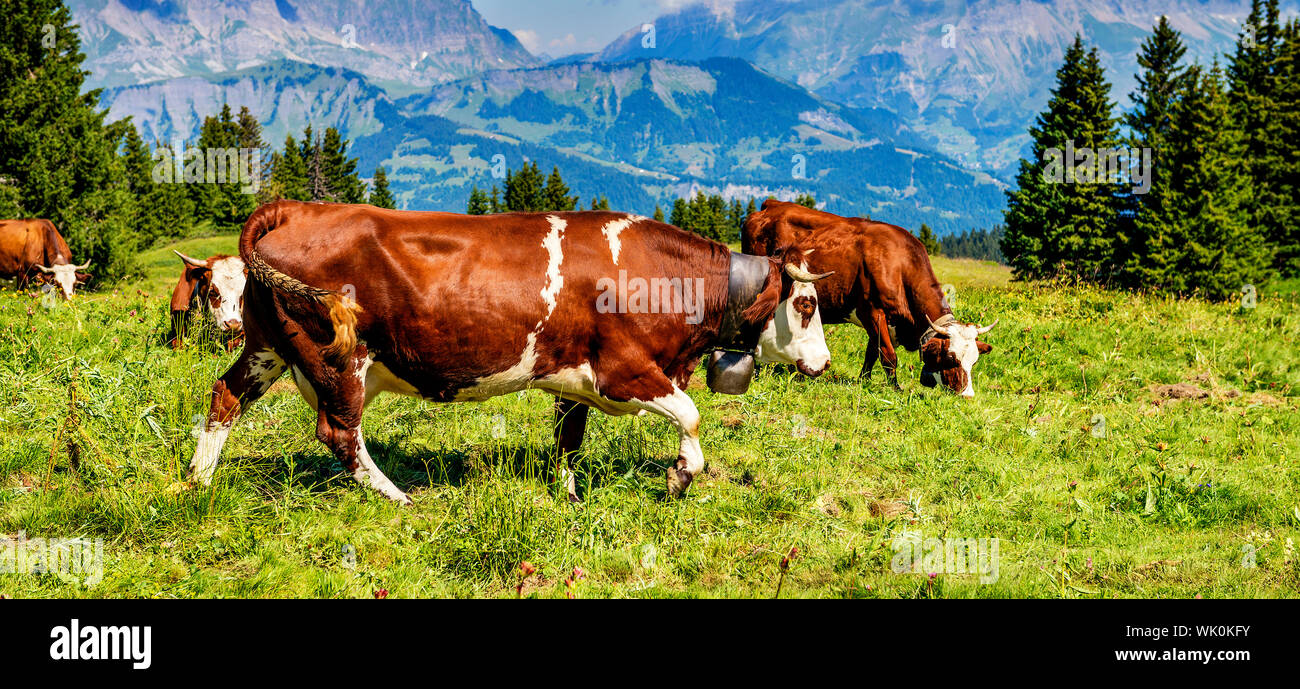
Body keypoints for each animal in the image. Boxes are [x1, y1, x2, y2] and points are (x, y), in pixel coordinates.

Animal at [184, 198, 832, 499]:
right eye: (805, 305)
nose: (824, 363)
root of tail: (297, 207)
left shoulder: (577, 380)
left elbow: (568, 441)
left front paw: (567, 494)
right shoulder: (623, 372)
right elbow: (692, 417)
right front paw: (678, 477)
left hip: (267, 347)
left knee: (224, 397)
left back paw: (196, 484)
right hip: (338, 358)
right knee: (340, 433)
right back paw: (398, 498)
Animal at [743, 198, 993, 397]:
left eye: (974, 361)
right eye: (951, 358)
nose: (968, 395)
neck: (899, 264)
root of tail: (770, 205)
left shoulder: (884, 322)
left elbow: (872, 352)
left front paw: (864, 381)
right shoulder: (871, 311)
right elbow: (889, 356)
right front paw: (895, 388)